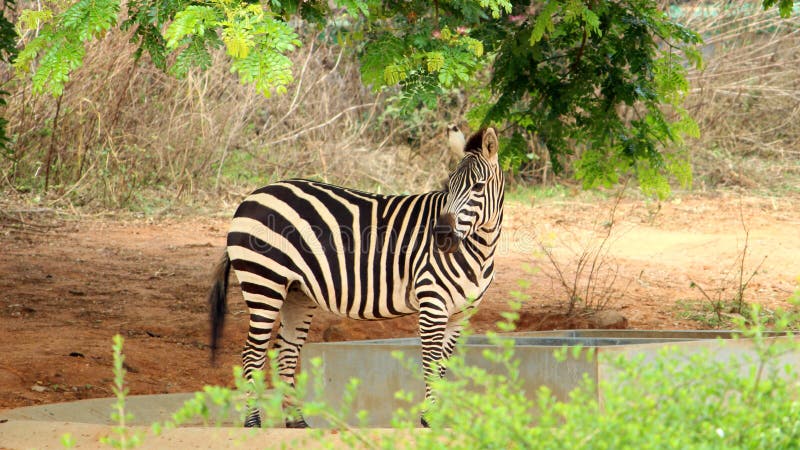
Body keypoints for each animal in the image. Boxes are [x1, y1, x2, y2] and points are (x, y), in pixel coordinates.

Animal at [208, 127, 504, 428]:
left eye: (478, 187)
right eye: (448, 186)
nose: (442, 237)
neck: (480, 248)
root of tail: (251, 197)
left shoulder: (461, 313)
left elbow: (443, 366)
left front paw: (438, 418)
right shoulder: (432, 302)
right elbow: (431, 363)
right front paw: (429, 419)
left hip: (297, 292)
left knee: (287, 351)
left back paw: (297, 422)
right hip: (264, 281)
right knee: (252, 354)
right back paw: (253, 423)